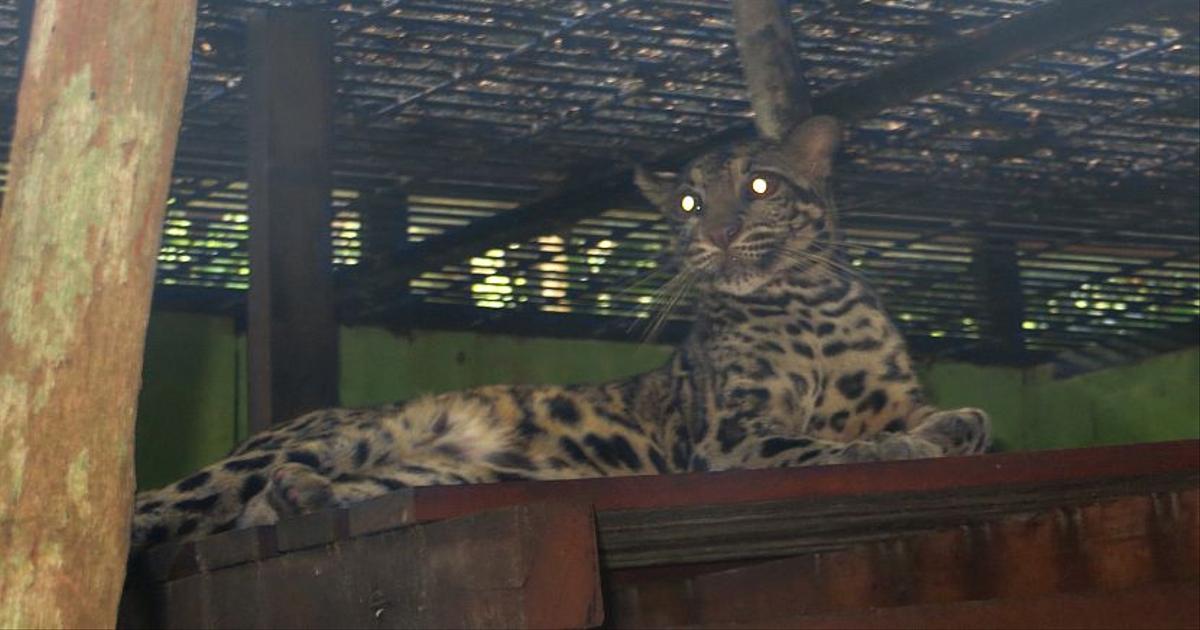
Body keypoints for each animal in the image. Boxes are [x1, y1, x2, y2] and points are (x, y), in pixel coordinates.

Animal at [131, 116, 990, 550]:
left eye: (758, 185)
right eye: (687, 205)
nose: (715, 234)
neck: (806, 304)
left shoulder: (888, 393)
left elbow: (963, 421)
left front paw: (944, 430)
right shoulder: (729, 435)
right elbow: (815, 445)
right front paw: (892, 450)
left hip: (449, 472)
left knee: (294, 497)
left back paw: (301, 494)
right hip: (297, 447)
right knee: (162, 505)